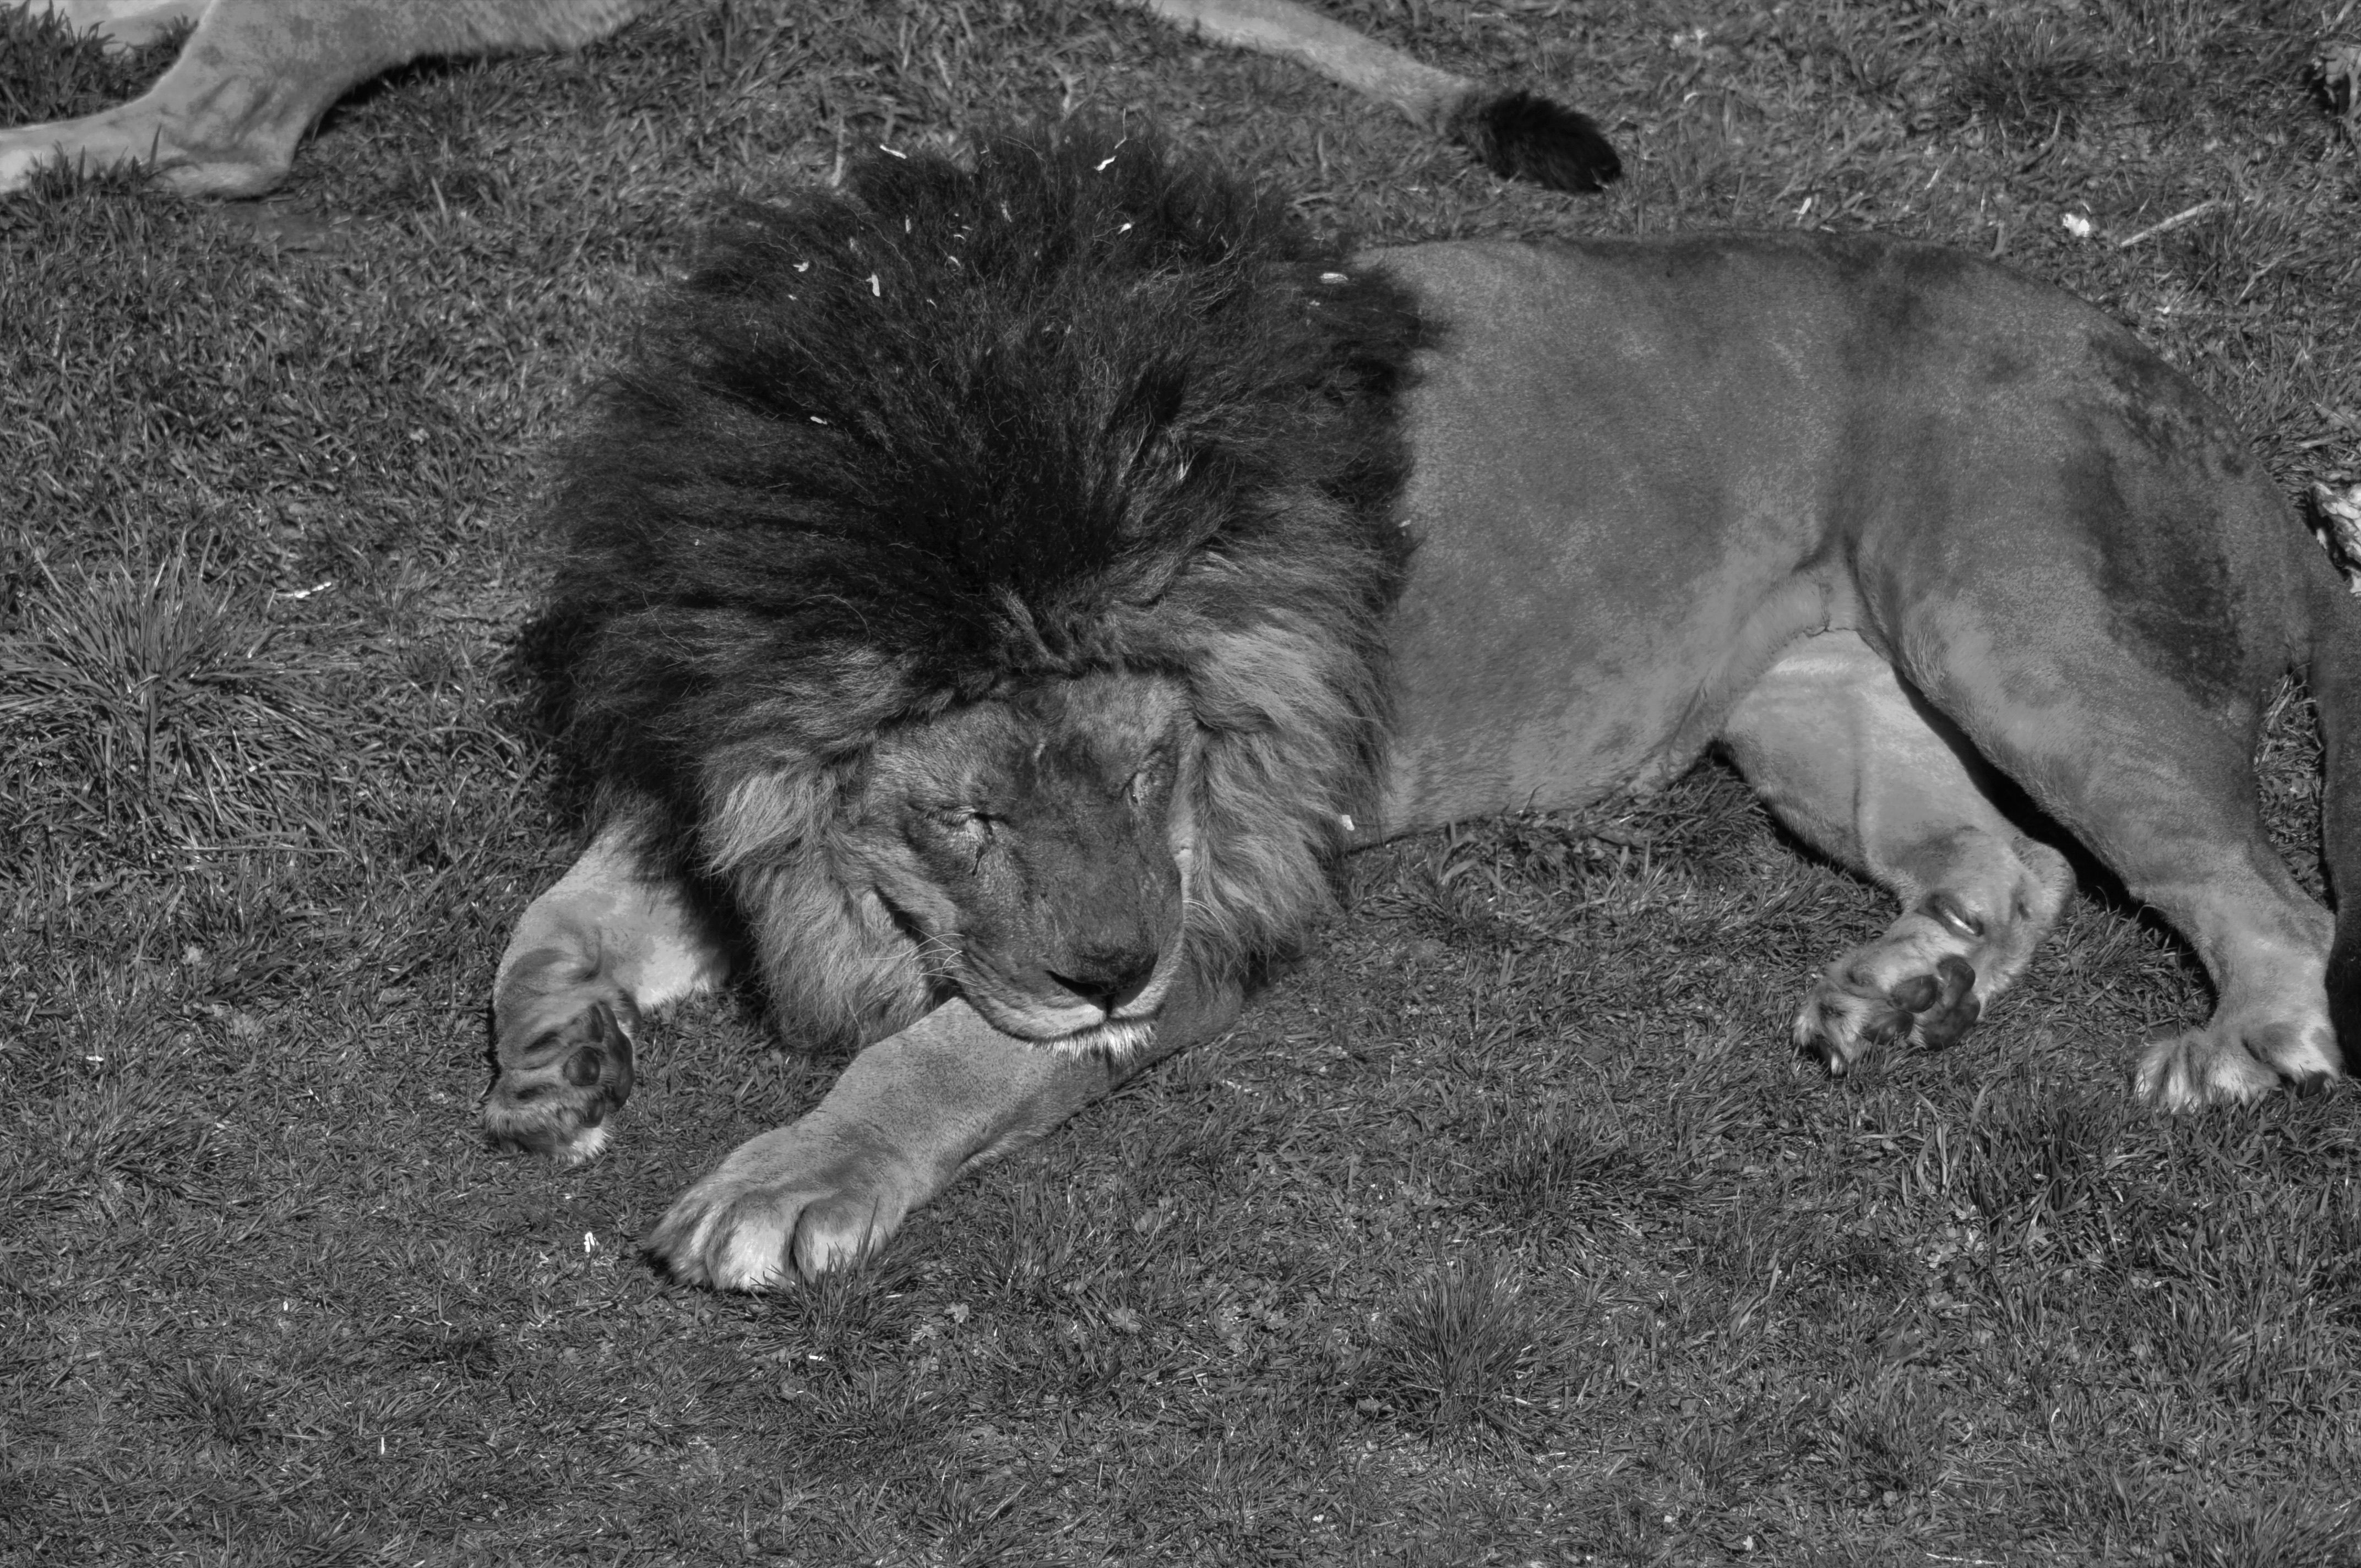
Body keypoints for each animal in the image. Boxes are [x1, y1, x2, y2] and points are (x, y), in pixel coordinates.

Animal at [482, 125, 2361, 1290]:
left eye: (1154, 768)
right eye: (968, 816)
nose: (1115, 971)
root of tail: (2196, 397)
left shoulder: (1234, 884)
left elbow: (949, 1052)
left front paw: (786, 1181)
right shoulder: (712, 756)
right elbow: (563, 905)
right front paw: (555, 1057)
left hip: (2015, 621)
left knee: (2269, 895)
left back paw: (2236, 1046)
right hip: (1807, 706)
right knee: (2012, 868)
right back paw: (1904, 996)